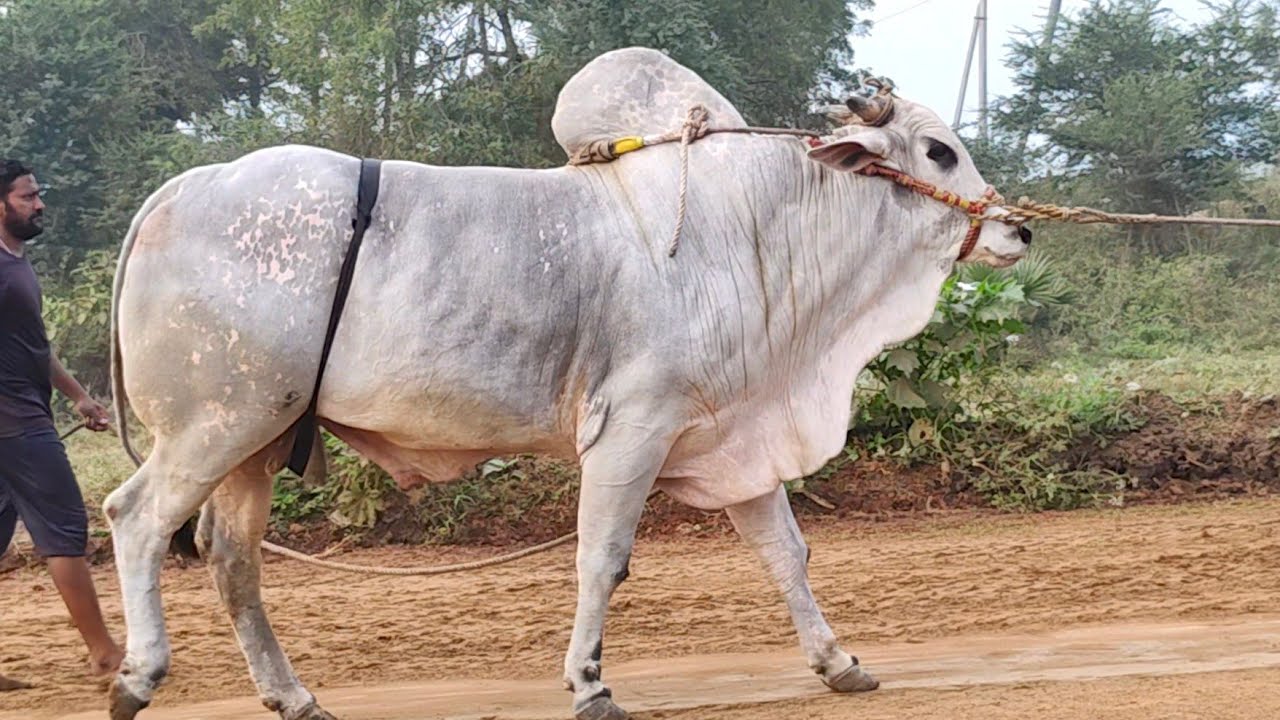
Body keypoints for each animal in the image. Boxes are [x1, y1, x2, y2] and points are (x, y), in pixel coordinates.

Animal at [103, 48, 1029, 720]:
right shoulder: (634, 428)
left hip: (258, 442)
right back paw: (138, 676)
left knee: (232, 561)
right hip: (215, 423)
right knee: (135, 518)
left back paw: (293, 697)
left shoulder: (729, 435)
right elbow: (602, 558)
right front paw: (590, 684)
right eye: (939, 150)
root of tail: (178, 190)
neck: (754, 230)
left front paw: (839, 663)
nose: (1017, 228)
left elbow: (785, 553)